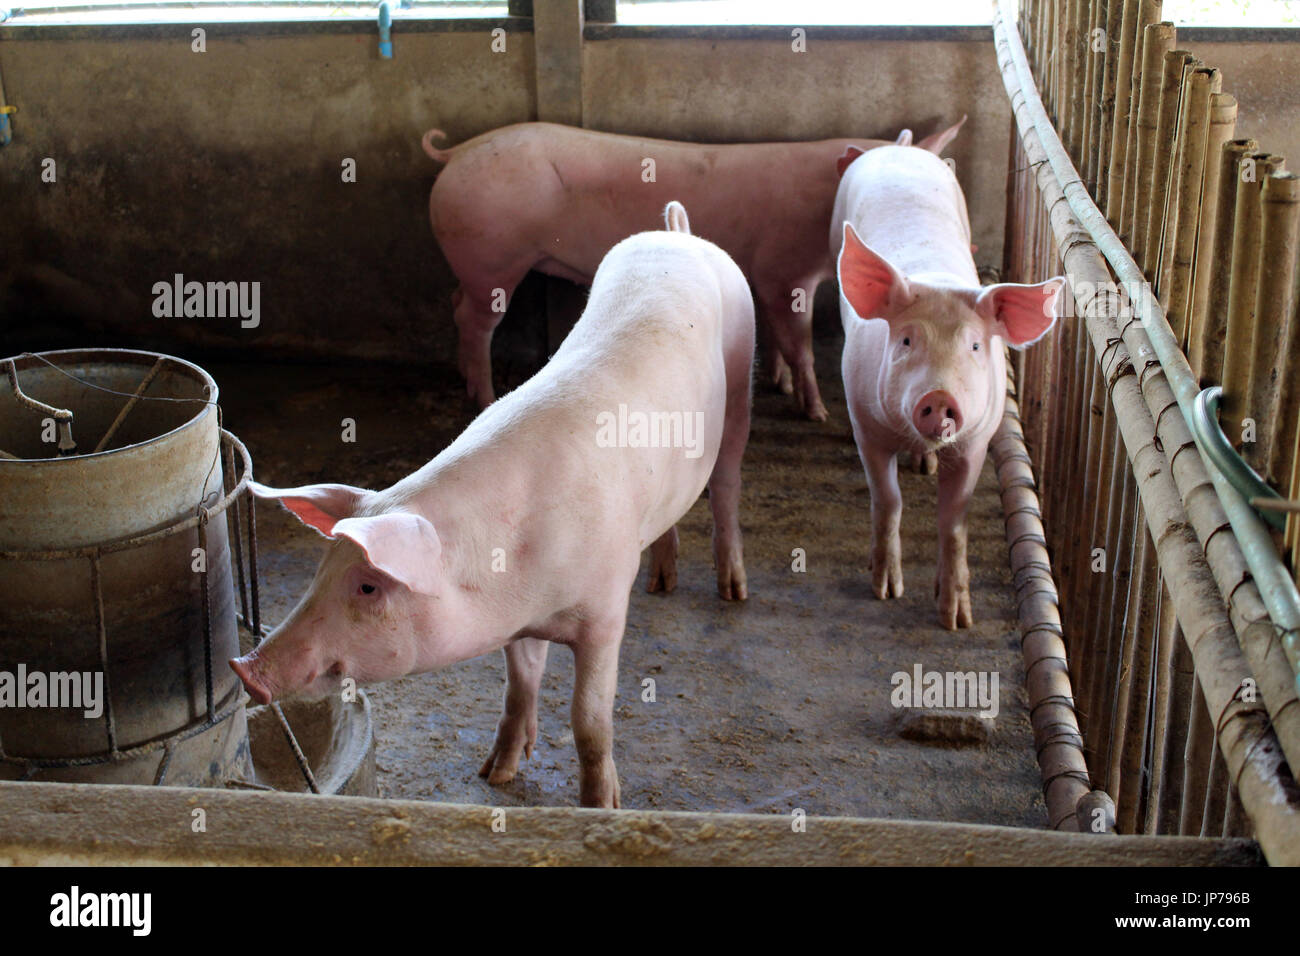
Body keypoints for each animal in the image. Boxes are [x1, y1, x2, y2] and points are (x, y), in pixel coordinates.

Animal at [230, 200, 754, 808]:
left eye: (367, 587)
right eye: (320, 570)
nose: (244, 667)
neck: (513, 577)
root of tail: (678, 233)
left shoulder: (605, 613)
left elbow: (589, 719)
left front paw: (602, 806)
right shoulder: (518, 622)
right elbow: (518, 685)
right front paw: (496, 774)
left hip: (742, 377)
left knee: (727, 483)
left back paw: (733, 591)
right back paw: (662, 584)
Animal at [423, 120, 963, 421]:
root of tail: (455, 153)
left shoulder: (764, 277)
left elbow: (775, 336)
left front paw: (780, 384)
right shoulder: (785, 272)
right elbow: (800, 343)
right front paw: (817, 412)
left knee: (455, 305)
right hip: (493, 256)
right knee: (477, 321)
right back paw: (483, 397)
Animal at [831, 142, 1064, 629]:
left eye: (974, 345)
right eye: (905, 340)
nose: (938, 397)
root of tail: (898, 147)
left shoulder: (978, 438)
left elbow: (953, 522)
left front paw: (957, 619)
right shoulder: (867, 426)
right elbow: (888, 500)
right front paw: (886, 591)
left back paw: (926, 465)